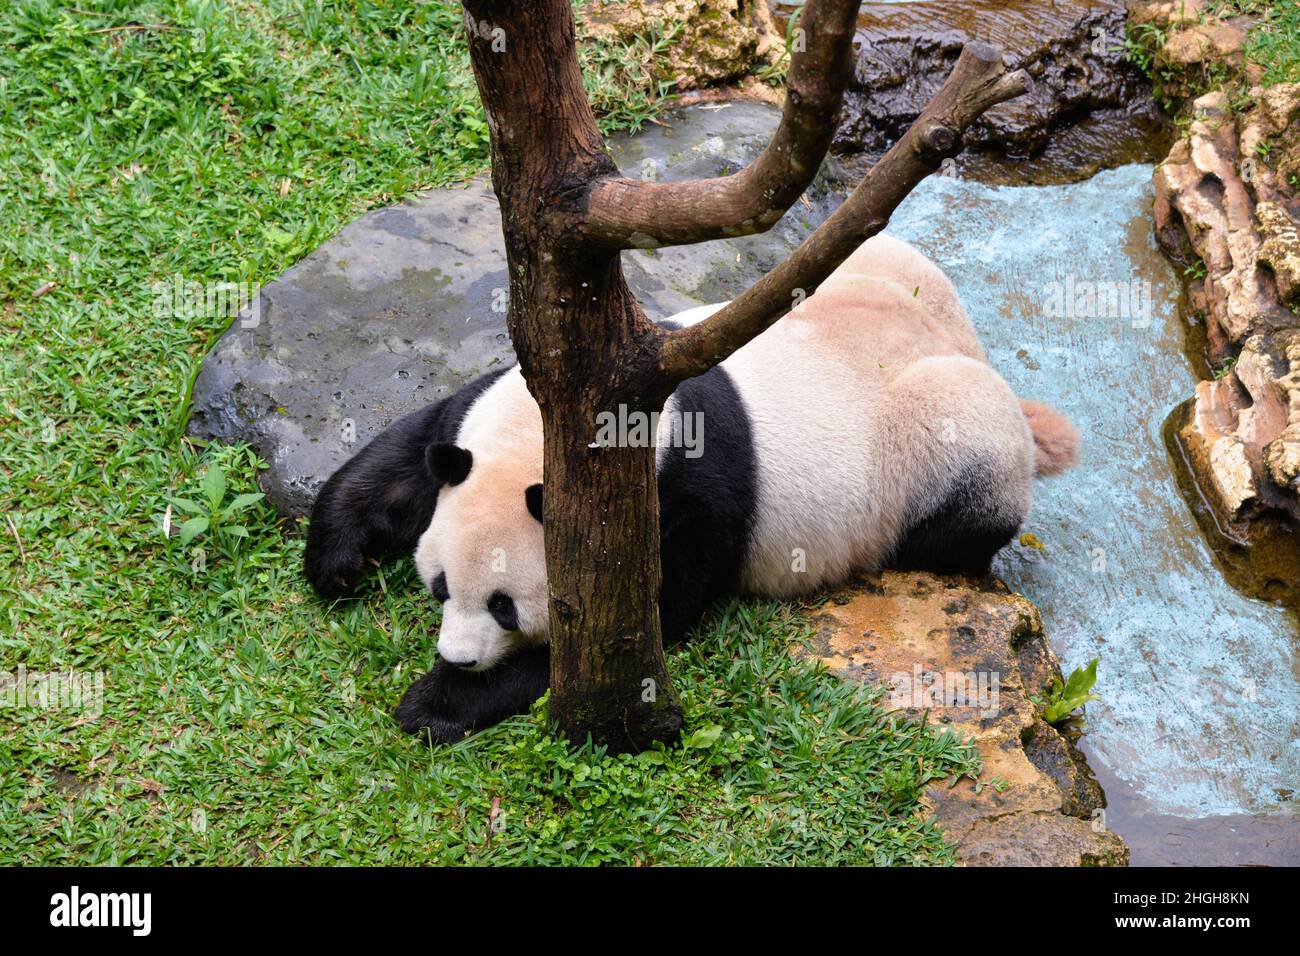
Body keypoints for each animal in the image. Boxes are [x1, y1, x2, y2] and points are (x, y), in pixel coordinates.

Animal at [304, 234, 1078, 743]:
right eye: (438, 586)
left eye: (503, 606)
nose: (458, 656)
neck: (568, 433)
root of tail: (965, 346)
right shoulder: (489, 402)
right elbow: (404, 458)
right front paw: (337, 563)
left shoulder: (684, 495)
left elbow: (636, 623)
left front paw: (438, 702)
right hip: (883, 265)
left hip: (941, 437)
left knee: (961, 492)